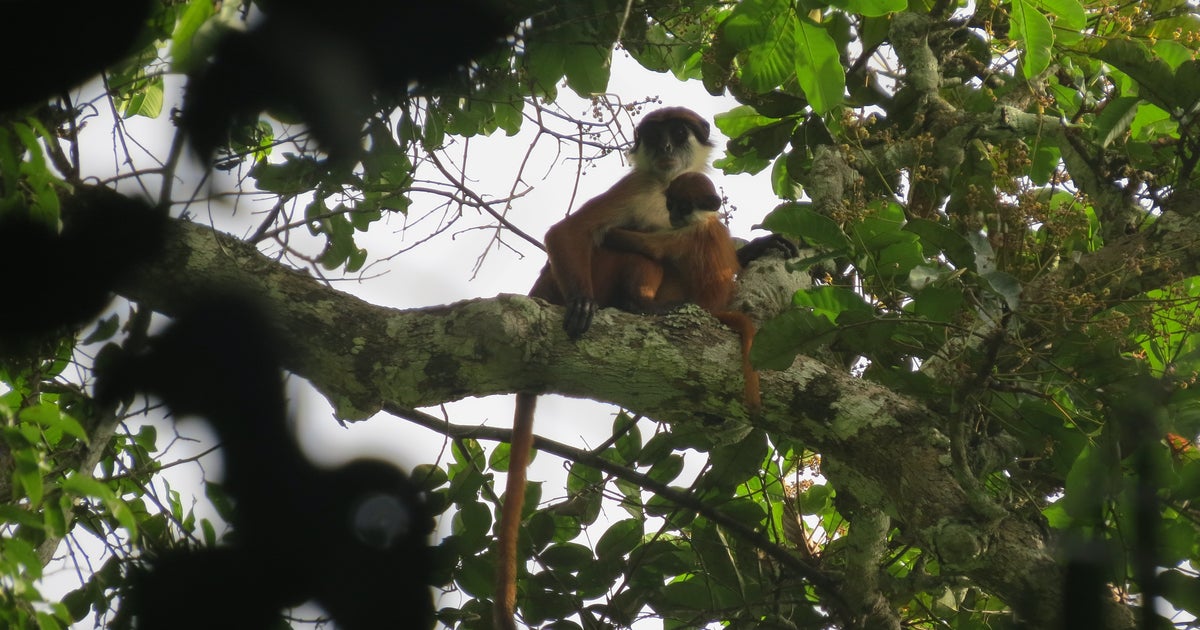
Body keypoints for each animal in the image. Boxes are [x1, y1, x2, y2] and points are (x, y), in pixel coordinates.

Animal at [495, 107, 713, 630]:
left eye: (678, 134)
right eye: (655, 137)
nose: (665, 149)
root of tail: (542, 289)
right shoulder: (638, 186)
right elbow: (566, 233)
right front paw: (585, 305)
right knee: (628, 246)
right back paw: (632, 305)